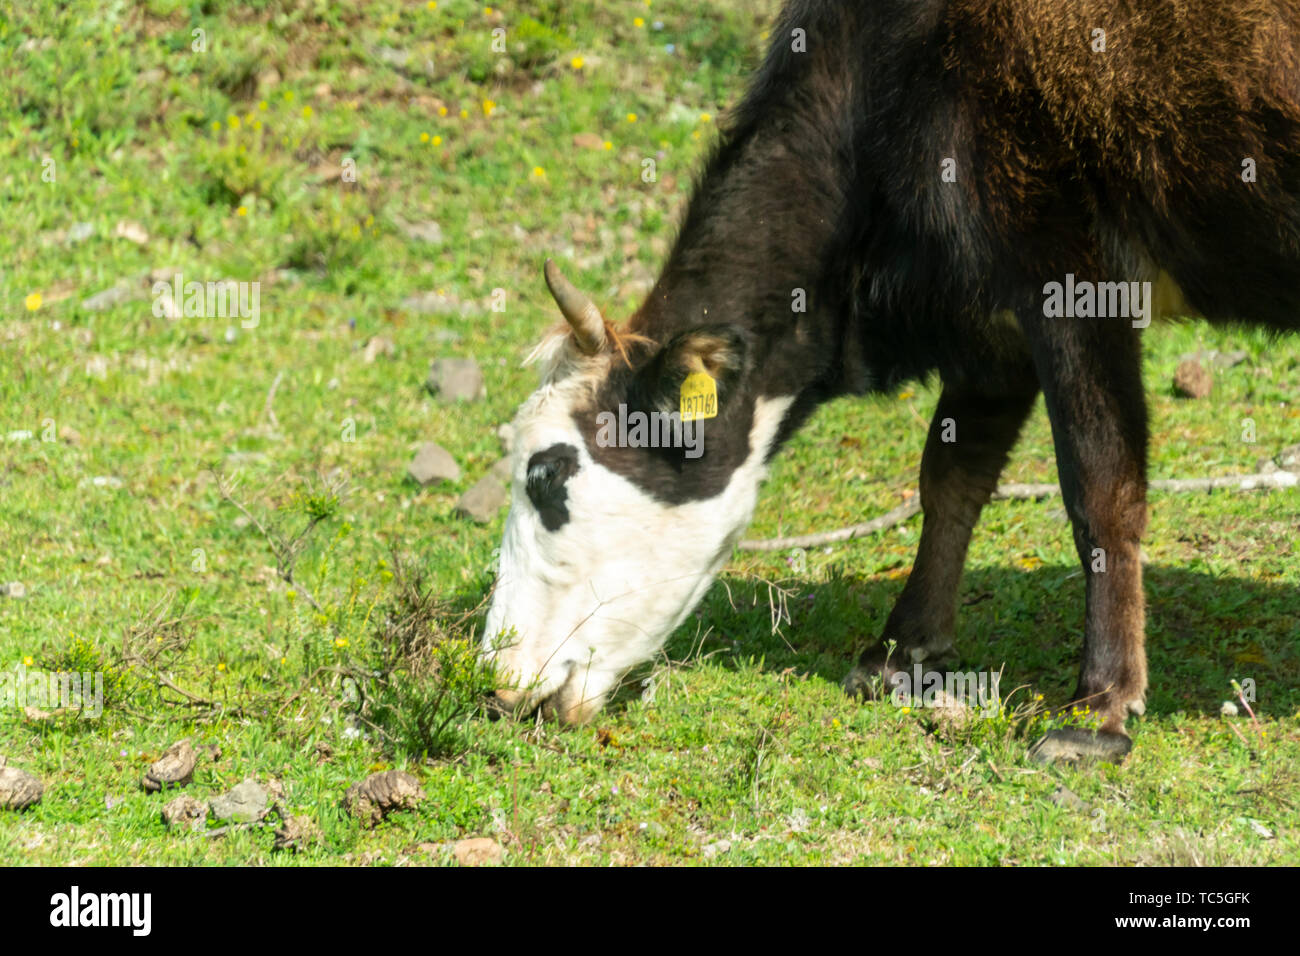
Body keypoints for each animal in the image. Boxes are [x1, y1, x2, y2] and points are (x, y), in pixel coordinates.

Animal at [481, 0, 1300, 761]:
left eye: (548, 478)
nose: (498, 678)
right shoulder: (988, 312)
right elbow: (950, 475)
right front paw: (902, 651)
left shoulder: (1071, 272)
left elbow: (1100, 489)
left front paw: (1097, 708)